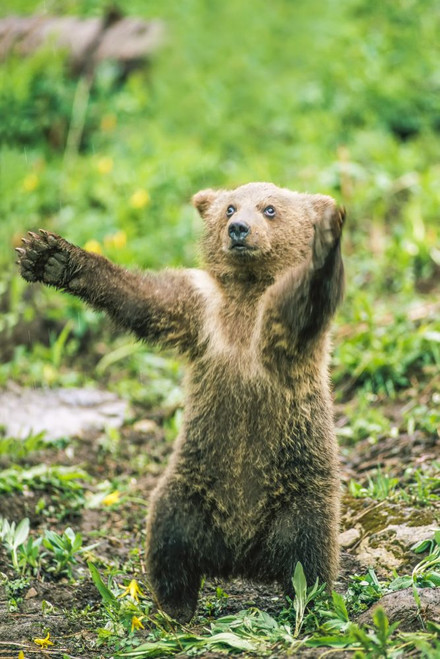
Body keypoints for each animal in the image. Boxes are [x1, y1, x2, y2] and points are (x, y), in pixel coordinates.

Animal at [16, 181, 345, 623]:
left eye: (270, 208)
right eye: (229, 207)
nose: (239, 230)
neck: (245, 296)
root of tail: (242, 556)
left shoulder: (276, 331)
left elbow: (307, 301)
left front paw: (327, 246)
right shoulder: (200, 310)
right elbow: (142, 299)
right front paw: (49, 256)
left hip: (297, 491)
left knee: (307, 555)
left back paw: (309, 603)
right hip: (191, 490)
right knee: (169, 541)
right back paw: (176, 605)